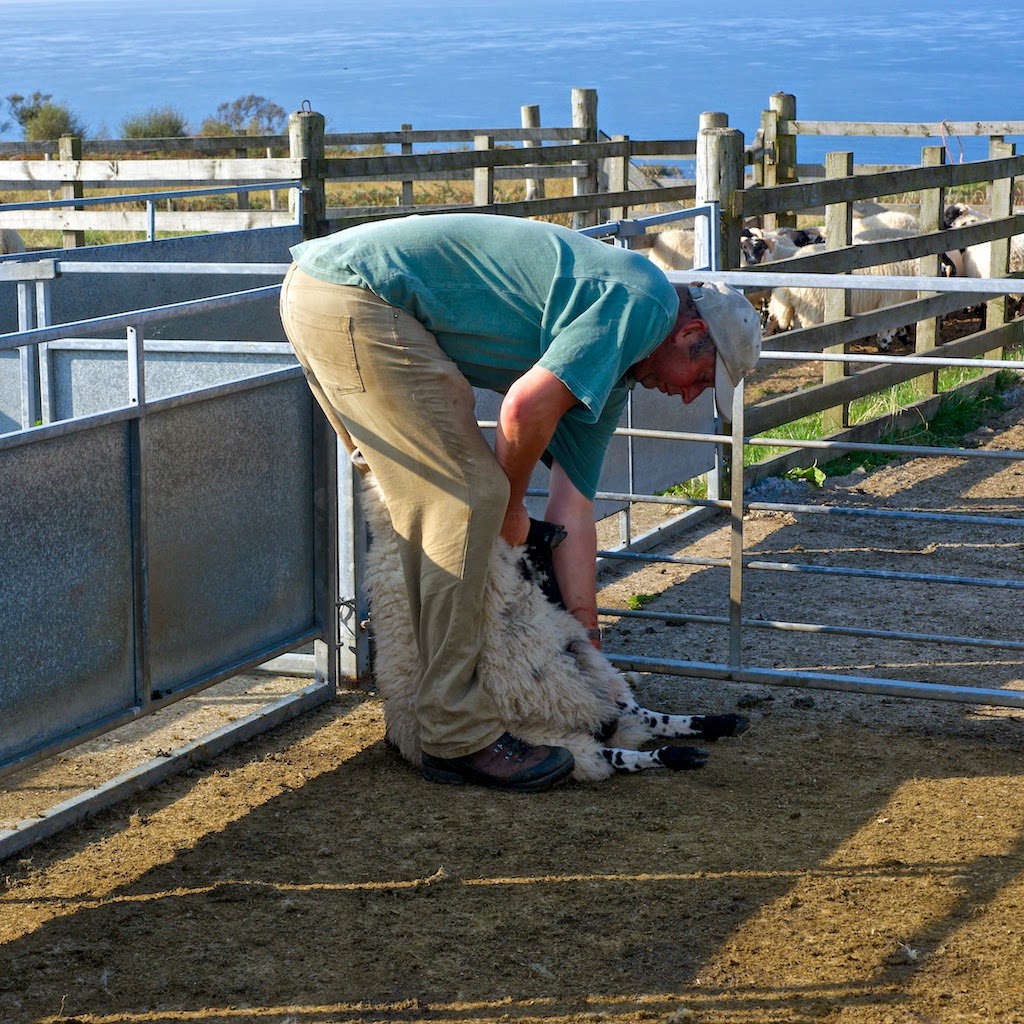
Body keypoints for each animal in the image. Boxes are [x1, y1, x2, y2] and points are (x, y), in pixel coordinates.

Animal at [356, 462, 748, 782]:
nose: (556, 528)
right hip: (564, 735)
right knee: (619, 754)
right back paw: (681, 753)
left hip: (598, 688)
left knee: (650, 719)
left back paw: (721, 724)